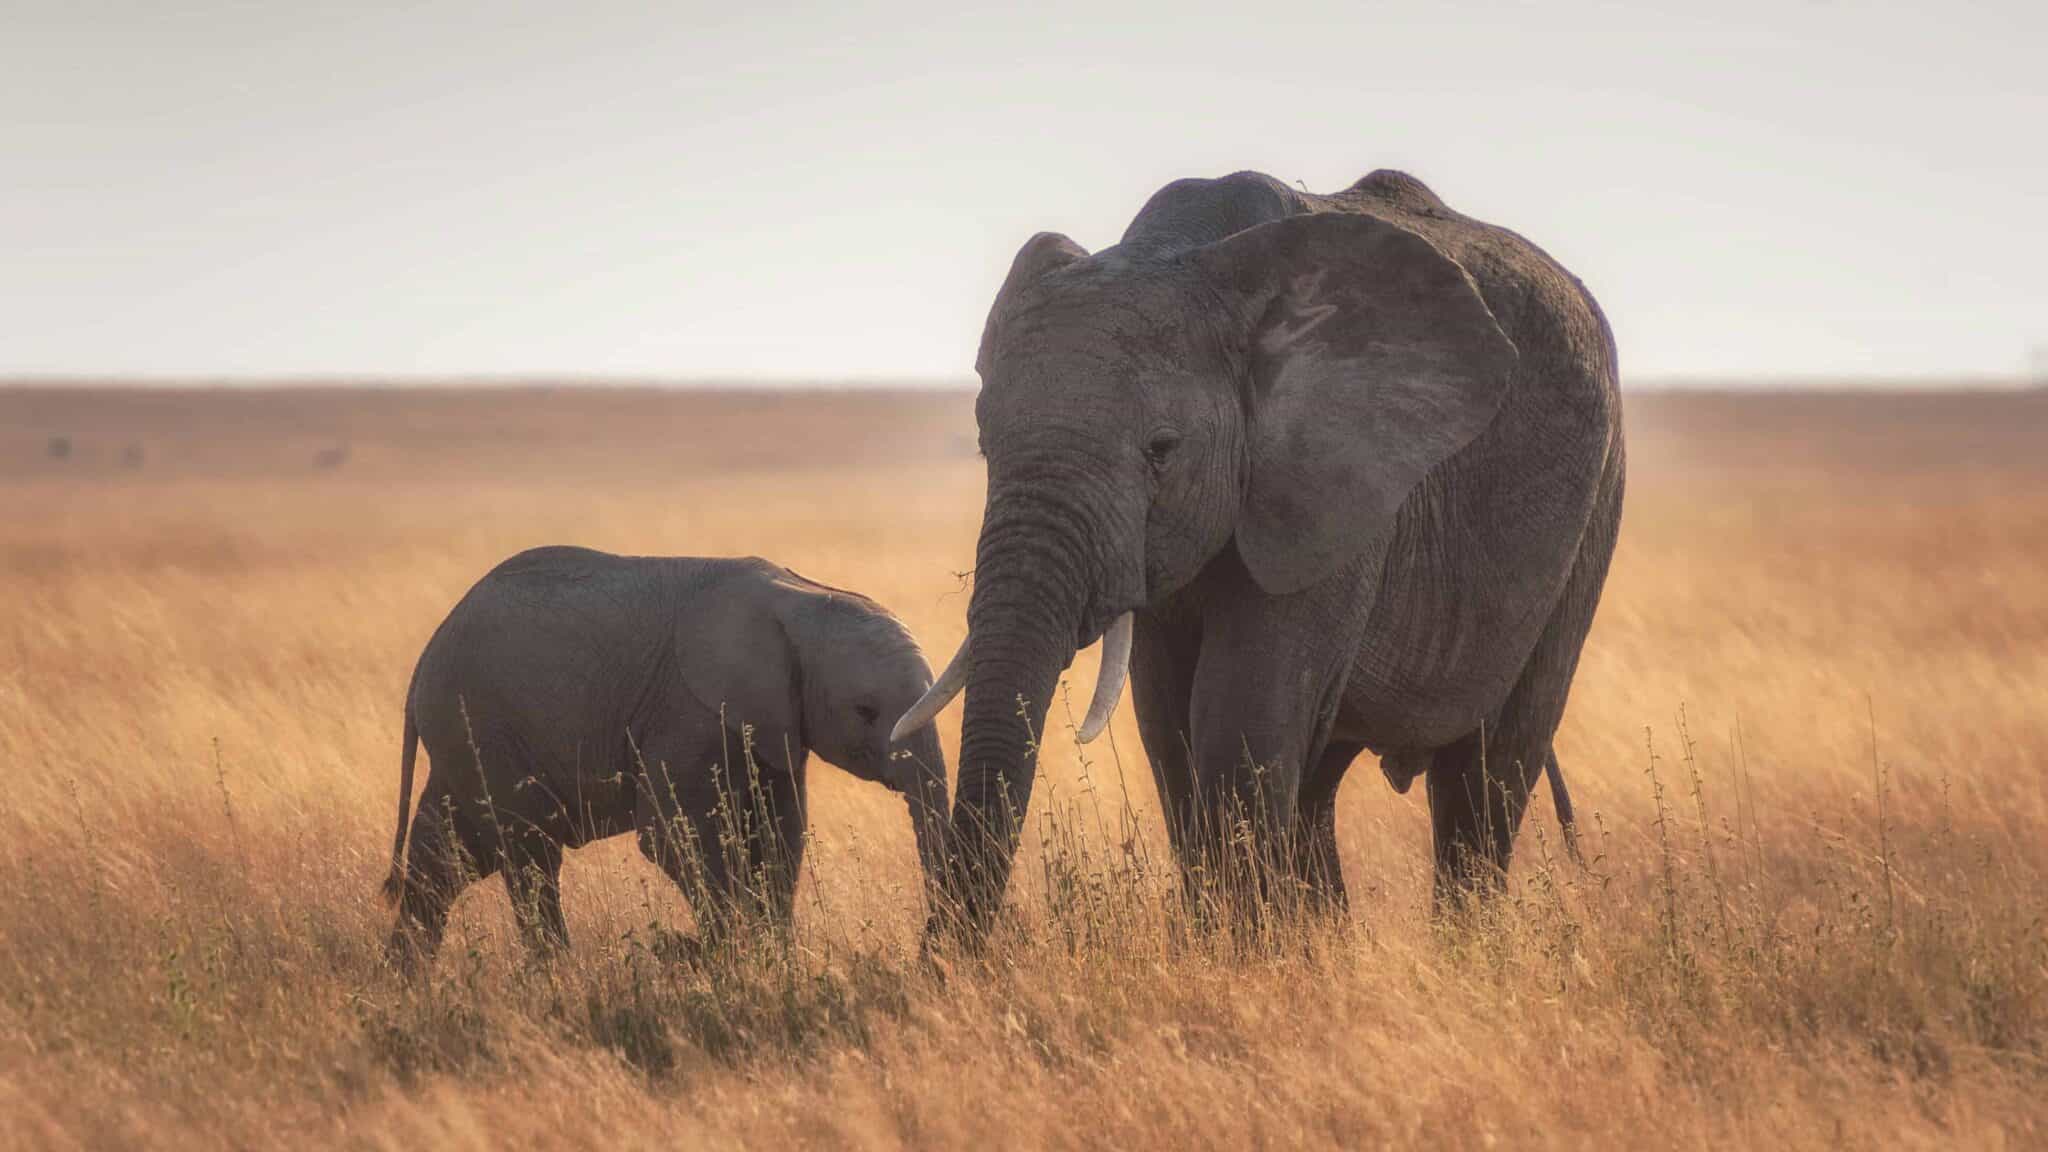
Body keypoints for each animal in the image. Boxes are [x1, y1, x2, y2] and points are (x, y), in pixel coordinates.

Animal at [382, 546, 949, 966]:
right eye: (866, 711)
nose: (930, 952)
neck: (804, 598)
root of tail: (424, 659)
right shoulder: (687, 711)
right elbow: (674, 836)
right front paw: (731, 959)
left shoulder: (773, 725)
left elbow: (779, 836)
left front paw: (775, 960)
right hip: (481, 725)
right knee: (528, 855)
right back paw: (557, 975)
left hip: (466, 737)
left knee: (445, 858)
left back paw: (406, 983)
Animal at [895, 169, 1623, 931]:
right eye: (984, 445)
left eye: (1161, 450)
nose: (948, 953)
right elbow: (1170, 728)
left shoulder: (1338, 482)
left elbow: (1238, 719)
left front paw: (1244, 949)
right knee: (1320, 784)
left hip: (1594, 508)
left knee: (1488, 771)